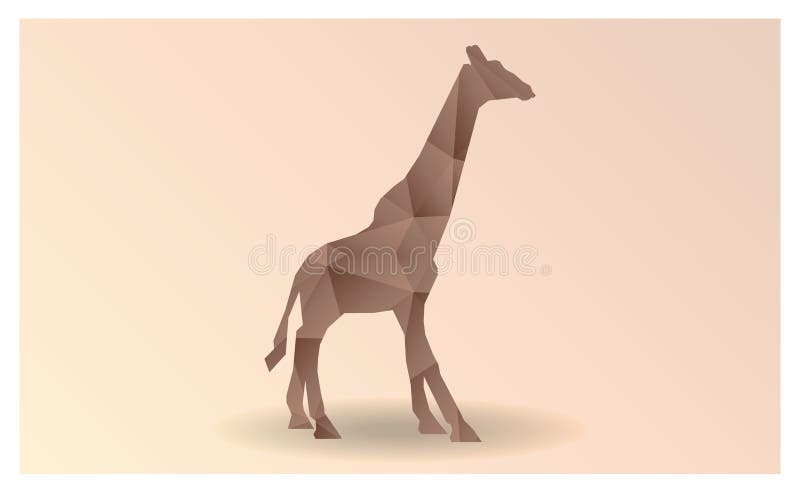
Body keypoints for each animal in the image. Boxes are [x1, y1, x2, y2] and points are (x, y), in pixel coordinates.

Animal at [265, 45, 534, 442]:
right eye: (495, 68)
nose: (528, 89)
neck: (422, 219)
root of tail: (300, 275)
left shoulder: (407, 304)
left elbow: (416, 361)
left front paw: (429, 423)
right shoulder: (412, 300)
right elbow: (426, 361)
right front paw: (461, 429)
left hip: (322, 311)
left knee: (303, 346)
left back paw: (300, 419)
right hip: (324, 309)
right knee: (306, 345)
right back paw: (323, 424)